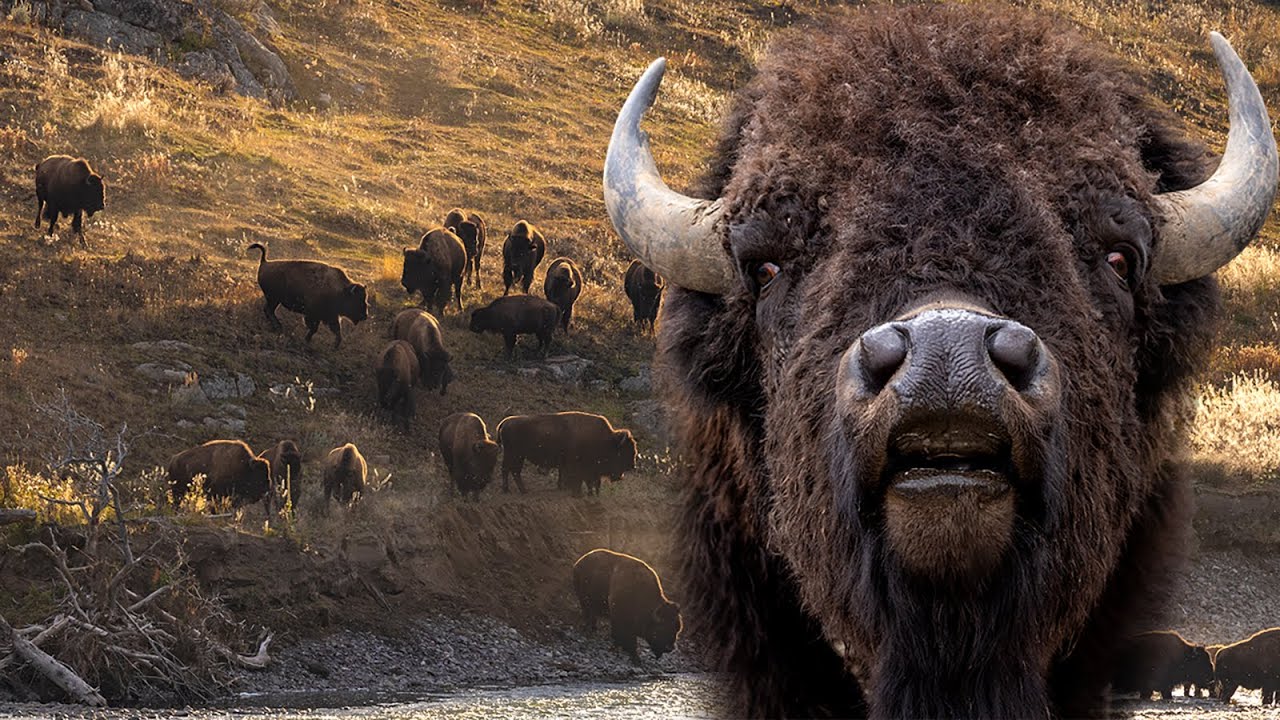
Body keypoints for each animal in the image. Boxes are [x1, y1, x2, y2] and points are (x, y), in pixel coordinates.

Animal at [495, 411, 636, 496]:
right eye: (623, 452)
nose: (632, 465)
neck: (606, 440)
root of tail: (504, 422)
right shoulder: (580, 466)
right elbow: (580, 479)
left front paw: (563, 487)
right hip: (514, 455)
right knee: (509, 470)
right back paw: (512, 490)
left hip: (518, 456)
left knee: (512, 471)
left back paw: (519, 490)